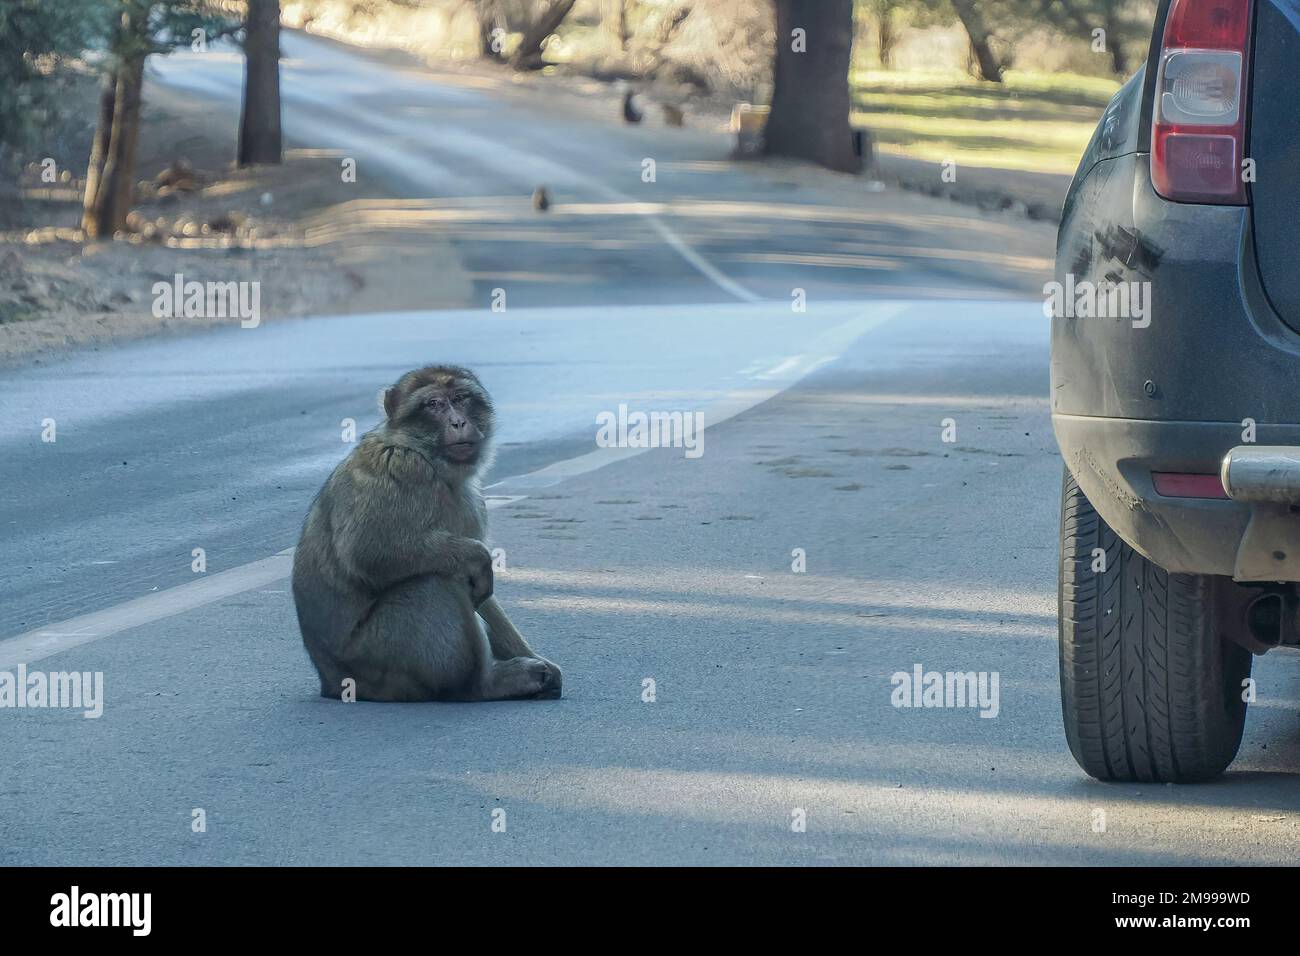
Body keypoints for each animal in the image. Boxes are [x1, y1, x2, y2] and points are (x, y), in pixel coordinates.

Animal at [291, 365, 563, 703]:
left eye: (461, 398)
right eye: (433, 405)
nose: (458, 422)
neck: (428, 460)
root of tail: (329, 680)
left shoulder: (470, 503)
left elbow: (482, 594)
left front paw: (535, 657)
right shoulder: (402, 469)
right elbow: (367, 551)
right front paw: (477, 556)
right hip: (380, 656)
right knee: (435, 581)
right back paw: (484, 684)